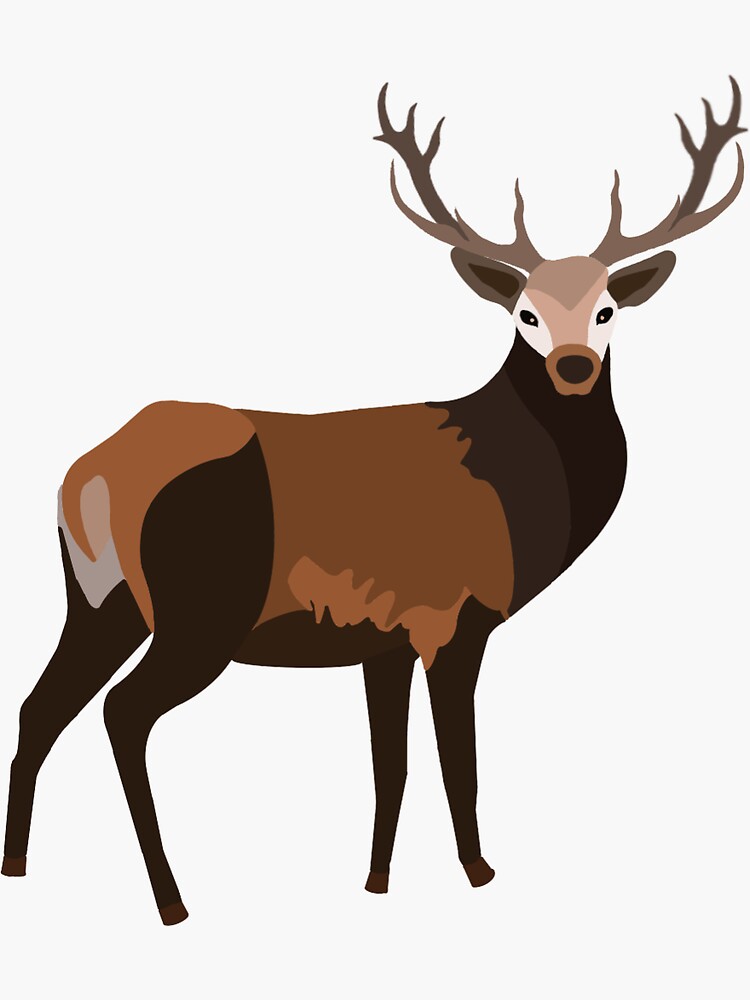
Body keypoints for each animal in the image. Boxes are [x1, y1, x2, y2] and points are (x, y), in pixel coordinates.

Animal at [2, 78, 745, 926]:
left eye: (607, 310)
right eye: (523, 312)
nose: (575, 366)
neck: (518, 498)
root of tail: (87, 478)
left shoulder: (383, 636)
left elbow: (390, 765)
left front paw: (376, 880)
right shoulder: (456, 618)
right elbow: (458, 758)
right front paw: (479, 872)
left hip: (99, 599)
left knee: (38, 706)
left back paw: (18, 866)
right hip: (201, 611)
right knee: (122, 715)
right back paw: (172, 901)